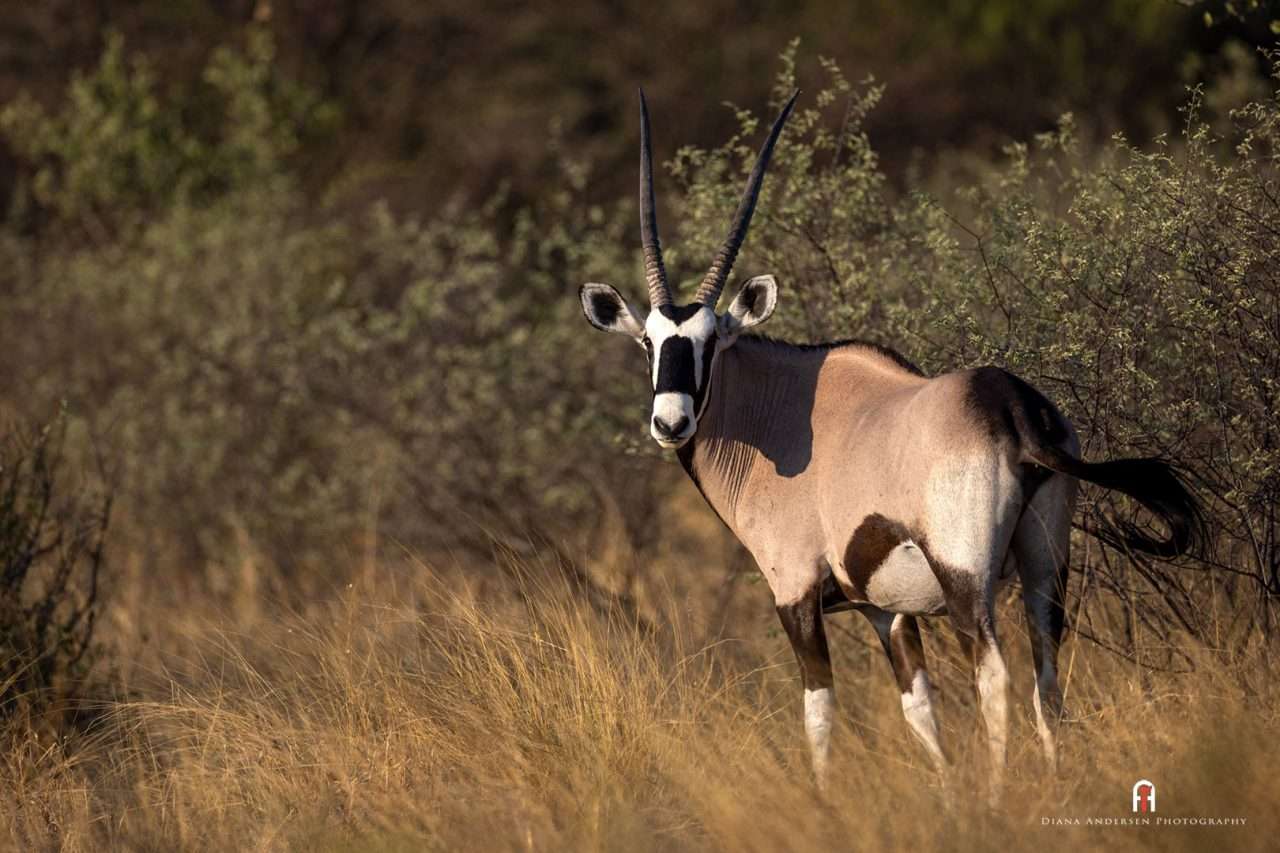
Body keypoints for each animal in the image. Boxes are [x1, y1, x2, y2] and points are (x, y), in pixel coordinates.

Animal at [578, 91, 1203, 790]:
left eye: (711, 342)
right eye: (648, 342)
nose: (671, 423)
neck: (781, 408)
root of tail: (1011, 408)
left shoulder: (795, 594)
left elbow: (820, 713)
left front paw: (825, 800)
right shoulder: (887, 610)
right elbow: (920, 713)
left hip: (966, 577)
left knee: (995, 676)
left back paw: (996, 796)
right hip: (1047, 566)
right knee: (1048, 680)